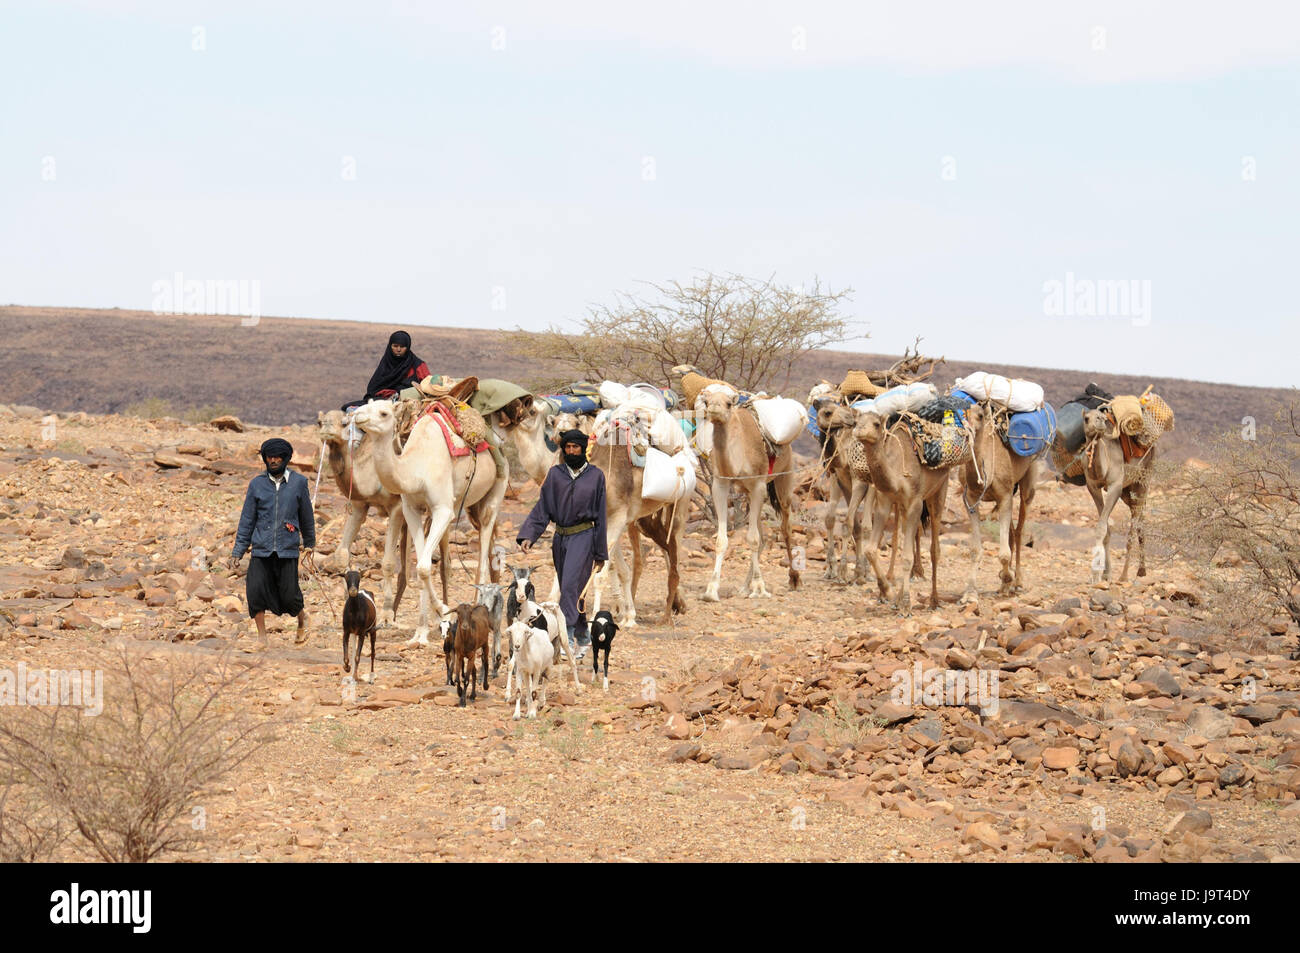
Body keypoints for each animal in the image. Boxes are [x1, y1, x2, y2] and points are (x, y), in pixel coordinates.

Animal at [351, 400, 508, 644]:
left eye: (384, 412)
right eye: (366, 406)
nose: (357, 416)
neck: (416, 468)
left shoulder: (443, 509)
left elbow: (424, 566)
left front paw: (443, 611)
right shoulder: (412, 509)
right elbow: (422, 568)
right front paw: (422, 631)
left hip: (497, 488)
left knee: (484, 547)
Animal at [700, 387, 799, 601]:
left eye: (728, 403)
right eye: (706, 402)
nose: (714, 409)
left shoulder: (759, 485)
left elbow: (752, 539)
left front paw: (760, 588)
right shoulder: (720, 484)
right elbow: (722, 540)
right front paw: (711, 590)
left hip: (784, 477)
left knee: (785, 527)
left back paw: (794, 579)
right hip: (748, 493)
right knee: (763, 536)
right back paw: (745, 586)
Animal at [853, 411, 969, 612]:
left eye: (876, 424)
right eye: (857, 421)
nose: (859, 431)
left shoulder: (915, 502)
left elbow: (907, 557)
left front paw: (906, 604)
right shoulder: (885, 502)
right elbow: (871, 550)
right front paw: (888, 592)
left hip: (939, 490)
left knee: (934, 548)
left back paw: (934, 600)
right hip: (903, 506)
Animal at [958, 403, 1041, 600]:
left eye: (980, 415)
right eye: (961, 414)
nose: (968, 431)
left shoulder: (1004, 495)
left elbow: (1003, 553)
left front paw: (1008, 577)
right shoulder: (970, 499)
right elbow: (975, 550)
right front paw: (970, 593)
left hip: (1027, 483)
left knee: (1019, 530)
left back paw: (1017, 581)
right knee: (1011, 531)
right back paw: (1005, 585)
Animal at [1081, 408, 1155, 583]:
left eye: (1102, 417)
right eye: (1086, 418)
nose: (1100, 420)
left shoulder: (1115, 486)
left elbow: (1101, 527)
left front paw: (1095, 575)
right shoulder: (1092, 487)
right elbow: (1106, 529)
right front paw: (1106, 573)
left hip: (1143, 480)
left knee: (1132, 529)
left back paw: (1124, 575)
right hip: (1128, 492)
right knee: (1140, 521)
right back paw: (1141, 570)